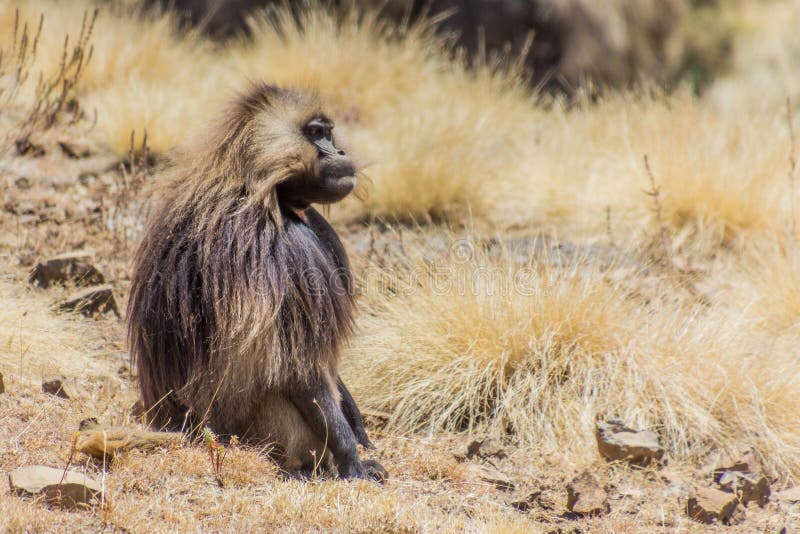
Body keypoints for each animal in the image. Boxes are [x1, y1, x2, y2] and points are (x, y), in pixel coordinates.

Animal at [127, 83, 384, 480]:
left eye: (329, 132)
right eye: (315, 133)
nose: (341, 153)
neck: (261, 183)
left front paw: (361, 438)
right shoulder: (278, 246)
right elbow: (297, 366)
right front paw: (351, 462)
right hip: (234, 429)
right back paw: (302, 467)